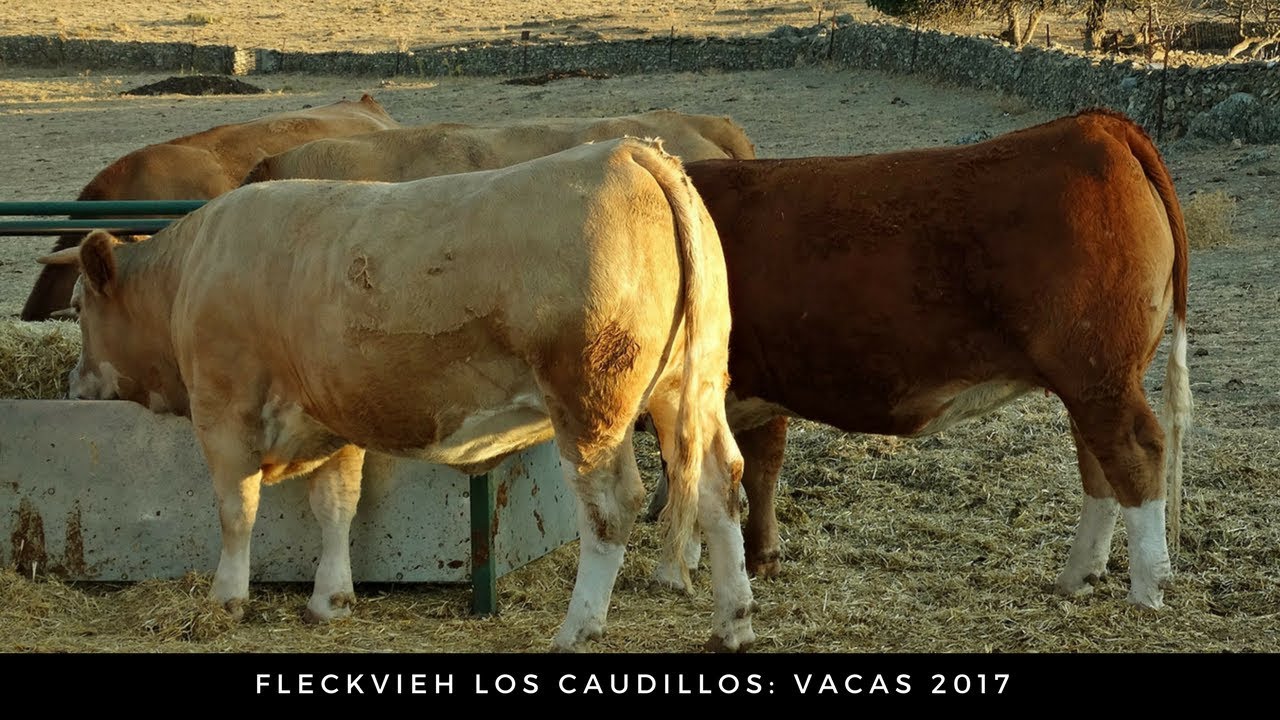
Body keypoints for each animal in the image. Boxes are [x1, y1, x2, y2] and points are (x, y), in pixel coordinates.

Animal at [39, 137, 756, 652]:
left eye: (77, 307)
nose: (74, 383)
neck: (193, 268)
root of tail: (629, 151)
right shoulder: (333, 412)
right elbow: (337, 506)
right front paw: (330, 600)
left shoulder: (225, 410)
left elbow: (236, 509)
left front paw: (226, 600)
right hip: (690, 386)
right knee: (719, 486)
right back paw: (733, 623)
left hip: (589, 404)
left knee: (612, 507)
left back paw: (577, 630)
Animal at [650, 109, 1192, 611]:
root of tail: (1097, 125)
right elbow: (752, 468)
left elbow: (690, 469)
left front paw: (676, 566)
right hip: (1091, 383)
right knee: (1099, 463)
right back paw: (1080, 574)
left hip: (1098, 375)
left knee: (1136, 454)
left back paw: (1147, 588)